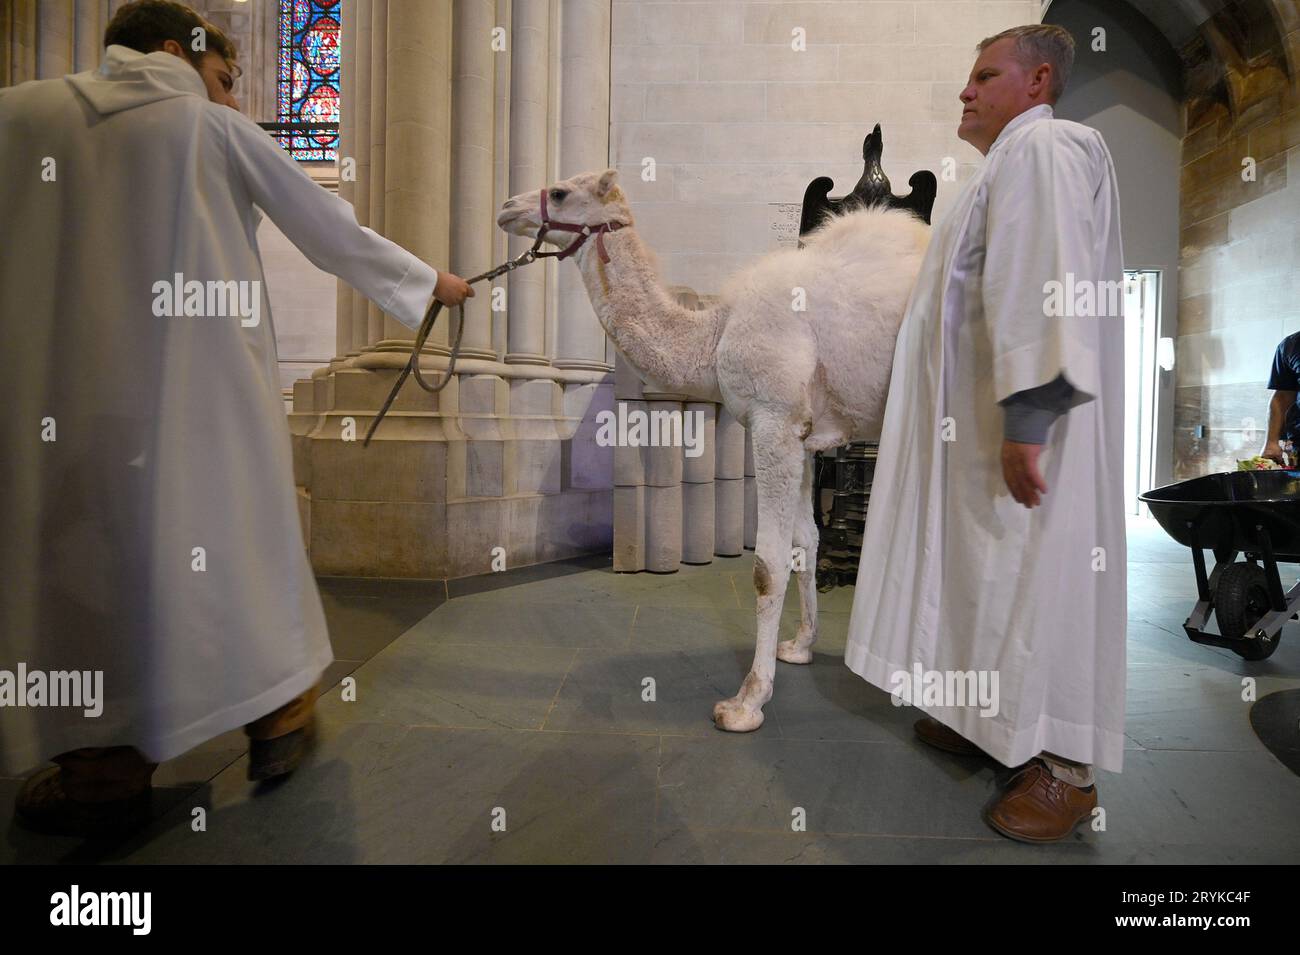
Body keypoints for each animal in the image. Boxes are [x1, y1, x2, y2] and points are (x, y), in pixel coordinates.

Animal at [497, 168, 930, 732]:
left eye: (562, 191)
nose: (506, 208)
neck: (715, 334)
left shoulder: (772, 421)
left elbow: (767, 565)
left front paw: (747, 701)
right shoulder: (804, 434)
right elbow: (805, 542)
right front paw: (800, 646)